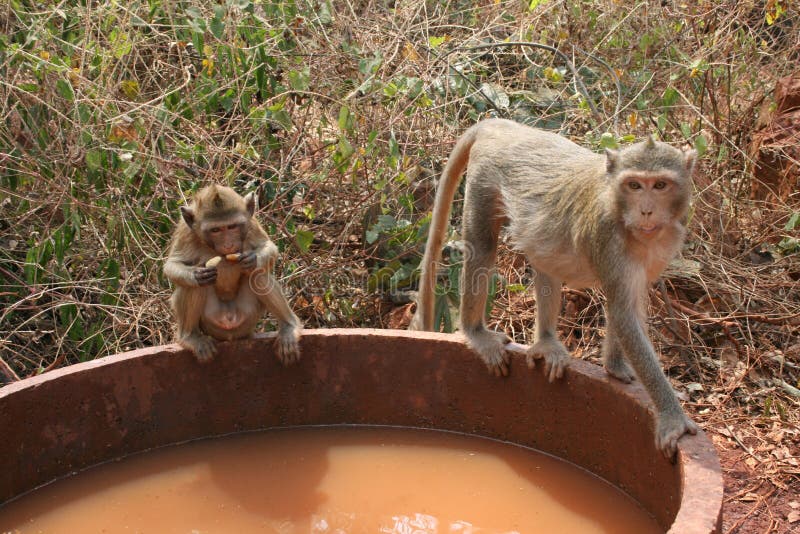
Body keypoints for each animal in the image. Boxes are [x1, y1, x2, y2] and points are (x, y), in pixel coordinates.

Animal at [163, 184, 302, 364]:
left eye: (232, 227)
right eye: (215, 230)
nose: (228, 245)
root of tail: (229, 324)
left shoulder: (251, 223)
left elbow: (268, 247)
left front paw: (252, 260)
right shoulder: (185, 231)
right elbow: (173, 264)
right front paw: (196, 274)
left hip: (247, 320)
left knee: (257, 275)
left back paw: (288, 327)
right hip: (211, 323)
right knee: (194, 286)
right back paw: (190, 337)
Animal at [410, 118, 698, 459]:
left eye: (660, 185)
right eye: (635, 186)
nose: (647, 211)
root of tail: (503, 125)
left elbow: (629, 307)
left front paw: (615, 367)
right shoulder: (605, 236)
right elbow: (623, 312)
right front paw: (672, 417)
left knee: (544, 255)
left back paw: (546, 342)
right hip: (483, 178)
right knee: (482, 247)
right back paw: (475, 332)